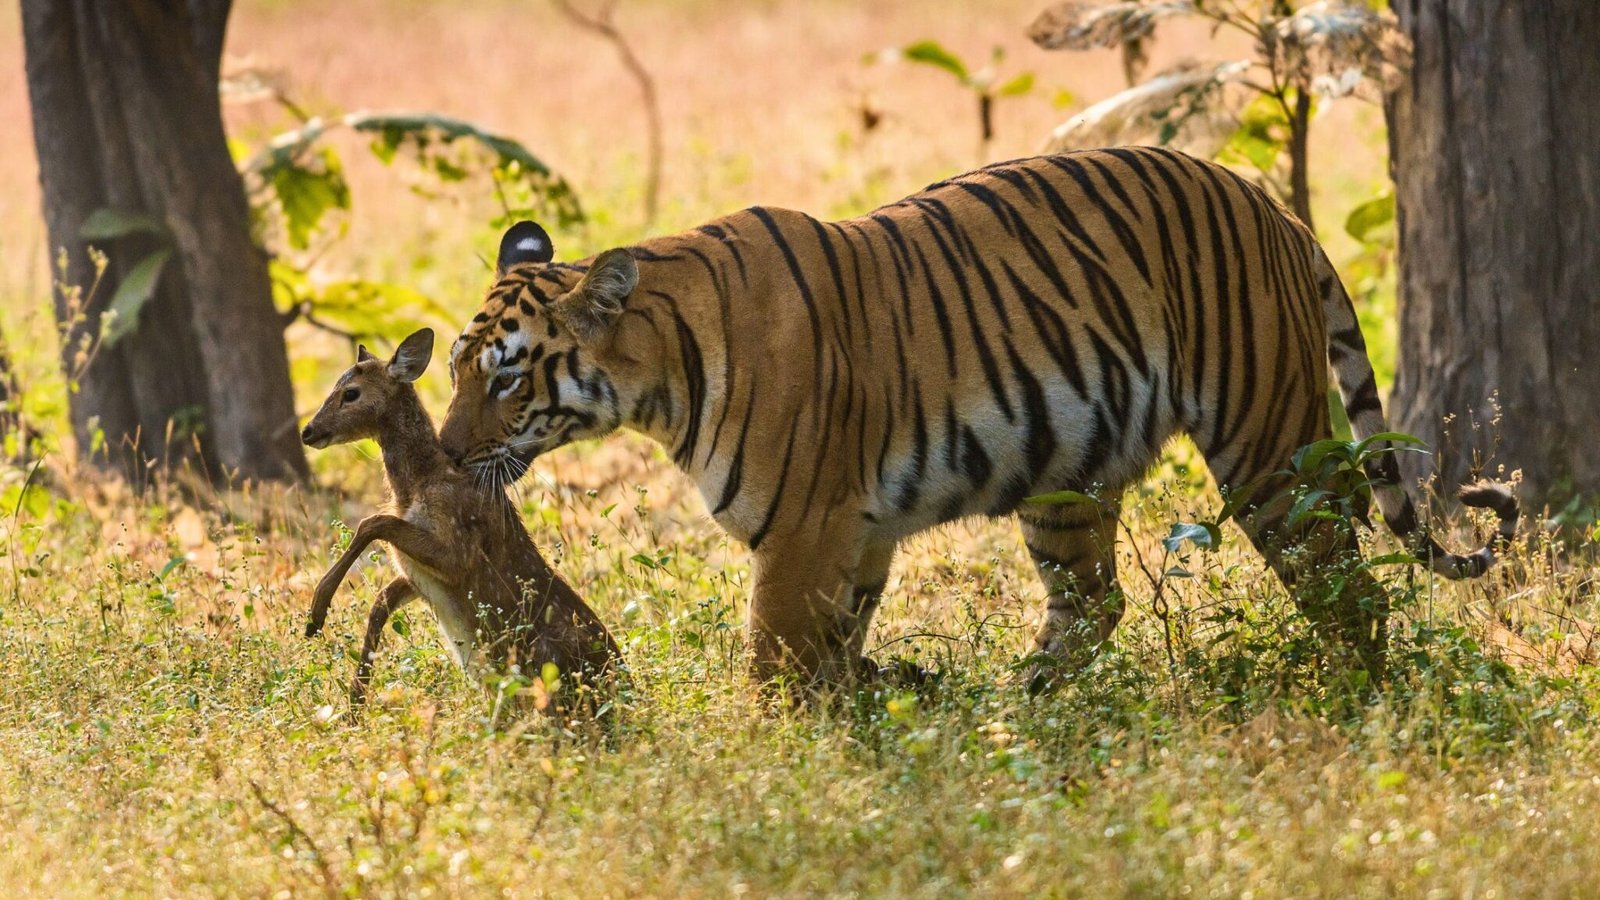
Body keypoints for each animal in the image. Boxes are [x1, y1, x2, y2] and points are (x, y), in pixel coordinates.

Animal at [438, 147, 1517, 688]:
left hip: (1269, 447)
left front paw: (777, 779)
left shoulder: (804, 533)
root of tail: (1269, 203)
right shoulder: (854, 534)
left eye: (507, 380)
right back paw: (1021, 716)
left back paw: (1361, 707)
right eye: (451, 371)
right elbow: (834, 660)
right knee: (1093, 606)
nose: (444, 456)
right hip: (1067, 475)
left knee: (1348, 591)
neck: (657, 375)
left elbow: (775, 668)